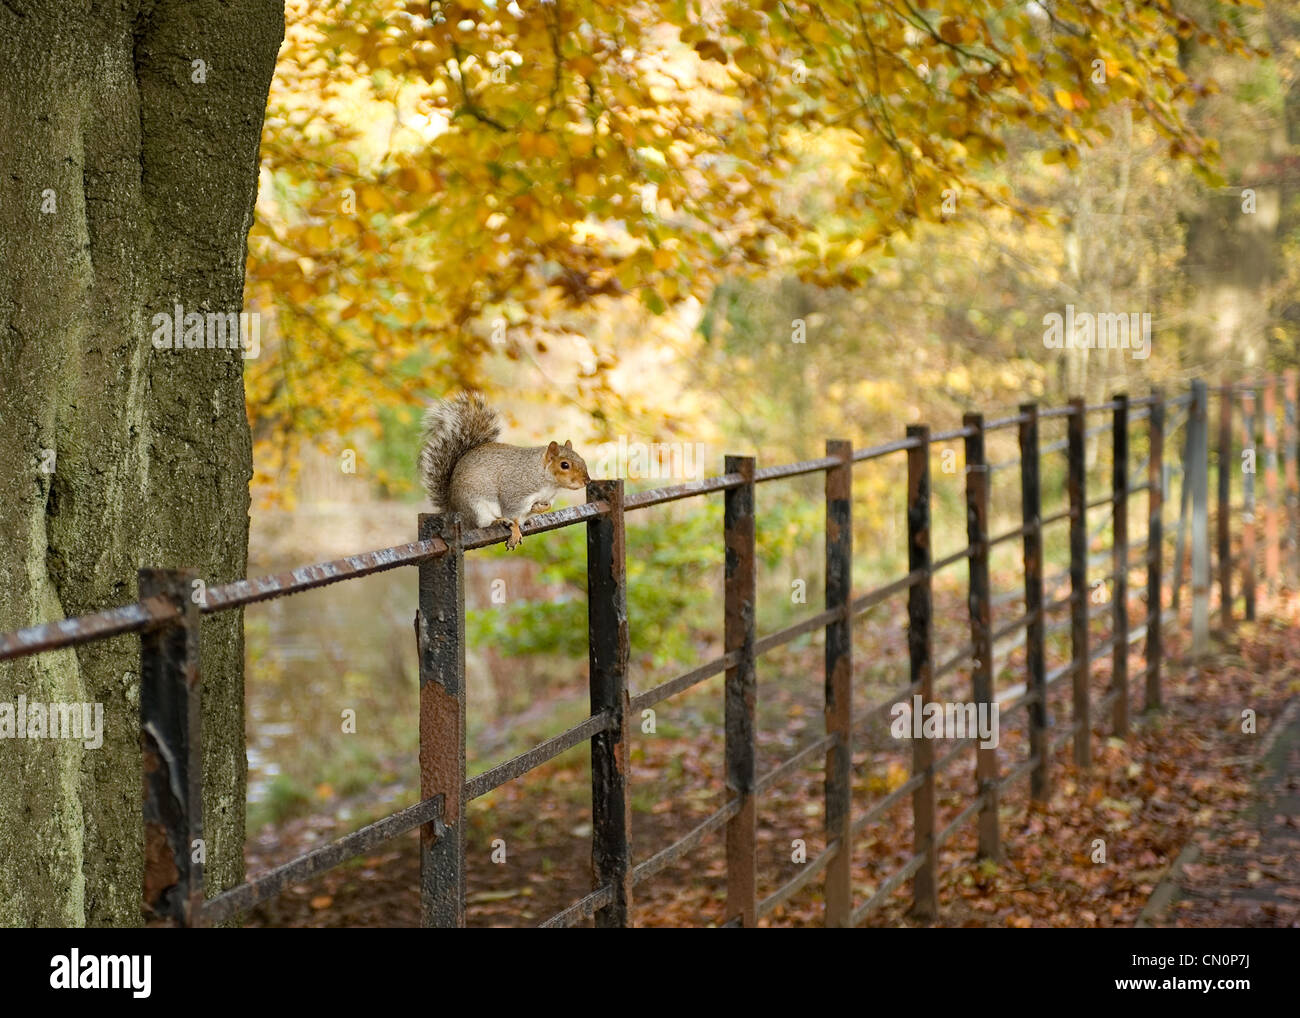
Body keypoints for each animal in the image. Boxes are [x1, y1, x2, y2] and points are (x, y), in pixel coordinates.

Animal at [419, 392, 591, 549]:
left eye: (582, 459)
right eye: (564, 465)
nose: (587, 480)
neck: (547, 482)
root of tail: (452, 507)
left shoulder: (547, 497)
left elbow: (547, 505)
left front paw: (537, 508)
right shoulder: (515, 491)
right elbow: (512, 514)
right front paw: (515, 531)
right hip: (475, 506)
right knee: (481, 524)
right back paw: (498, 520)